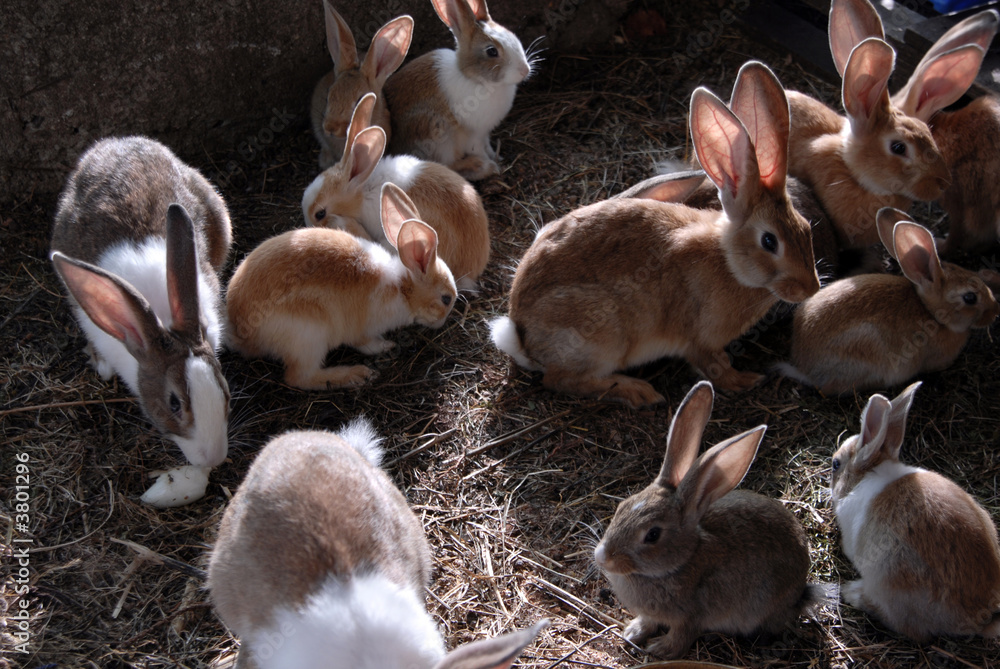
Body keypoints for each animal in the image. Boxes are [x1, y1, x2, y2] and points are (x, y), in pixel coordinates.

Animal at [228, 181, 457, 391]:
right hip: (308, 336)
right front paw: (386, 346)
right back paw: (355, 374)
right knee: (299, 377)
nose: (442, 323)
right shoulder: (362, 330)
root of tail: (242, 334)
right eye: (446, 299)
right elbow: (367, 344)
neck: (402, 287)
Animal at [381, 0, 533, 181]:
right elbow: (479, 150)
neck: (475, 79)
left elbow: (488, 146)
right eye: (491, 51)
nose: (525, 70)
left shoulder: (485, 133)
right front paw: (492, 163)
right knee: (447, 165)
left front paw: (498, 157)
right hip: (439, 135)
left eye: (512, 36)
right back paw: (483, 167)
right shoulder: (474, 136)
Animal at [490, 61, 820, 407]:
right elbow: (714, 366)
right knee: (561, 380)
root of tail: (519, 334)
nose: (811, 288)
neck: (730, 262)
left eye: (806, 227)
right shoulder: (699, 340)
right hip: (603, 334)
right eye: (769, 241)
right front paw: (744, 381)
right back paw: (637, 391)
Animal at [594, 381, 821, 659]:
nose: (602, 557)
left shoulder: (692, 616)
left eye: (653, 535)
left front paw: (660, 649)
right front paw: (633, 632)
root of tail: (800, 592)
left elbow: (681, 637)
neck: (680, 562)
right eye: (621, 507)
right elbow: (648, 621)